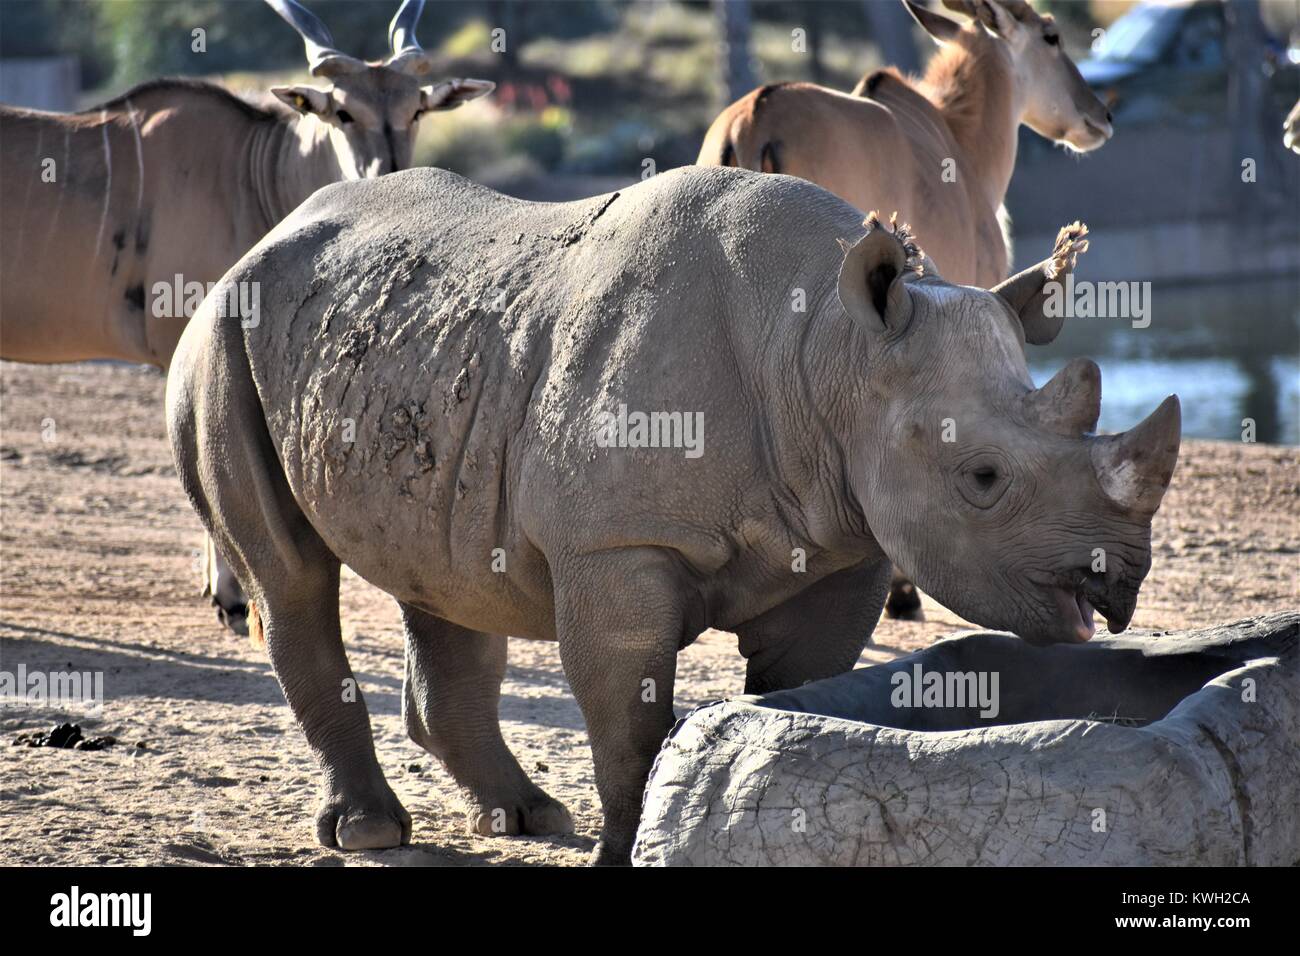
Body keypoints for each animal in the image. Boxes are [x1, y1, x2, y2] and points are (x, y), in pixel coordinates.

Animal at [165, 165, 1181, 864]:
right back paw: (373, 832)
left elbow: (795, 693)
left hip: (423, 362)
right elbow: (631, 722)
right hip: (223, 334)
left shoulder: (842, 545)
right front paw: (626, 850)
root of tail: (264, 236)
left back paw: (525, 816)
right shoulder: (614, 546)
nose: (1119, 579)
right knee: (292, 577)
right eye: (983, 476)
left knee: (445, 571)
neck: (826, 350)